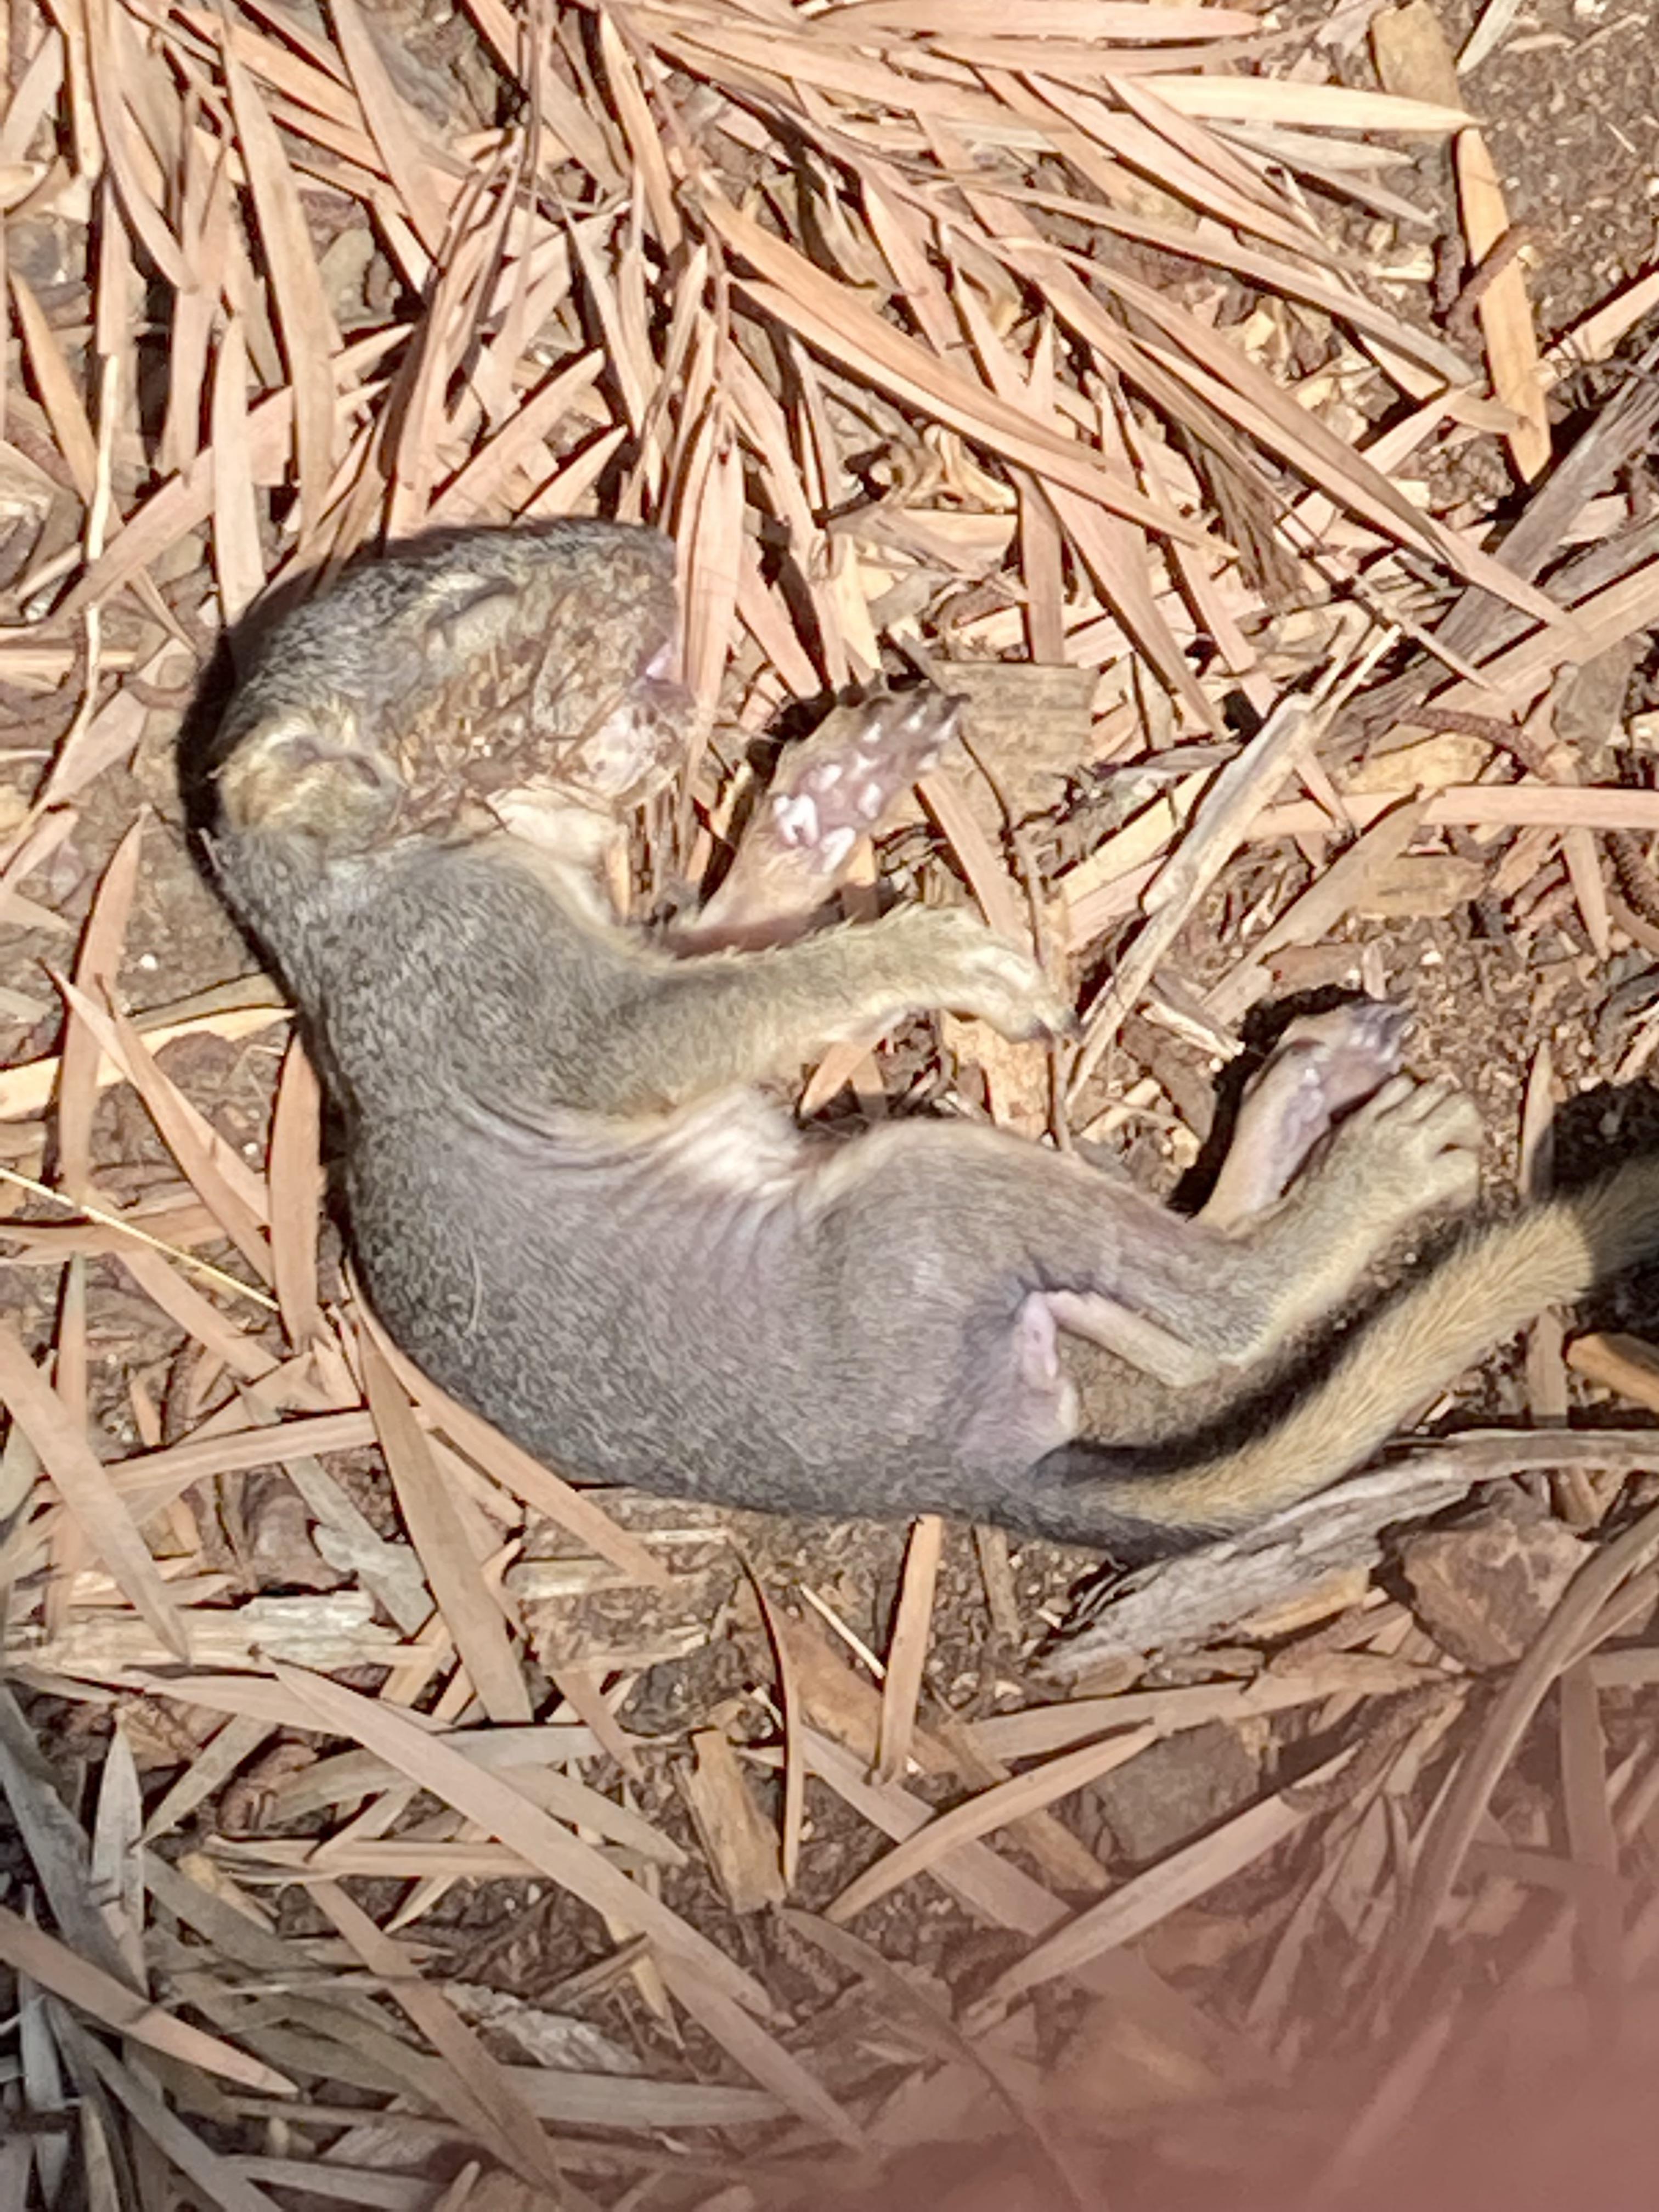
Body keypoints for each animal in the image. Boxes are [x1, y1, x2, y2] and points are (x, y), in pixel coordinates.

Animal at [200, 520, 1659, 1562]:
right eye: (464, 614)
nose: (655, 548)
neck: (375, 881)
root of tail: (959, 1470)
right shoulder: (487, 988)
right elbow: (685, 1022)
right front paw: (933, 960)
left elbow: (737, 942)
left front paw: (826, 794)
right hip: (927, 1208)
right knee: (1224, 1309)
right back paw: (1375, 1160)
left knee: (1184, 1336)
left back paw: (1305, 1093)